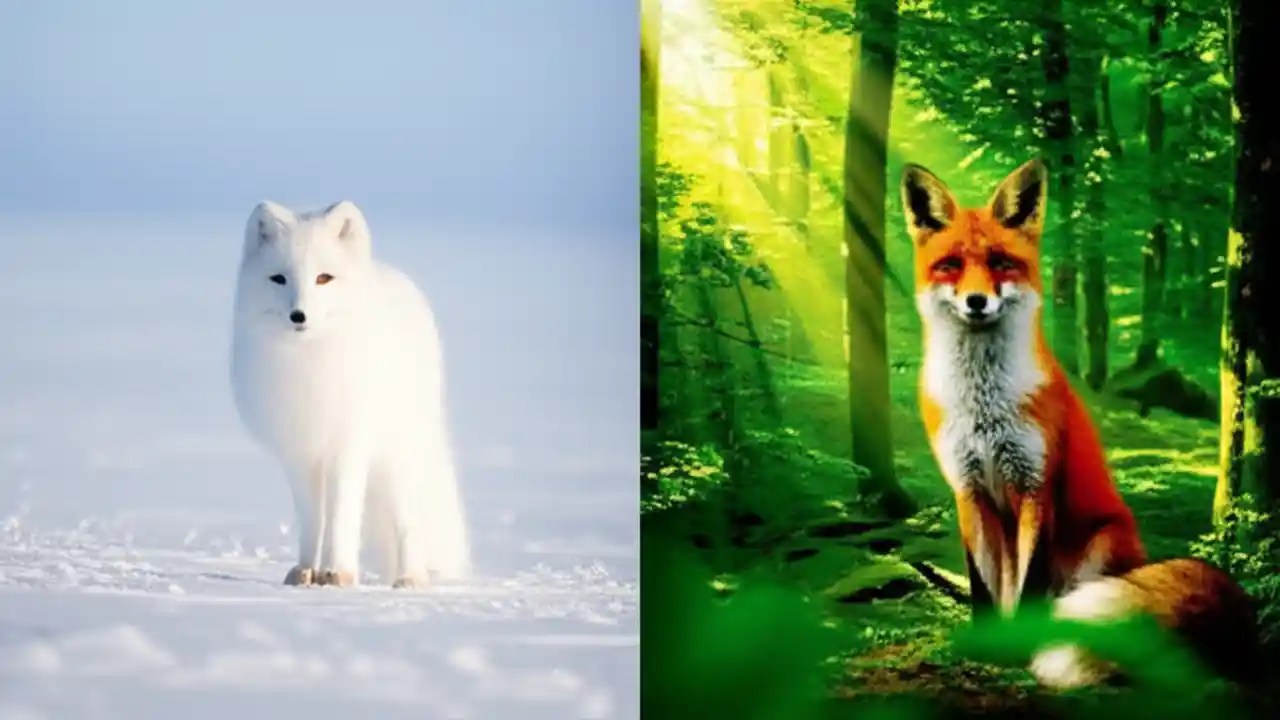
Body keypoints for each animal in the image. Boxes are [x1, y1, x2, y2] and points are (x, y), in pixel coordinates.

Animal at [230, 200, 470, 589]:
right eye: (279, 278)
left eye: (323, 278)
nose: (299, 315)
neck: (311, 366)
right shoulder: (300, 455)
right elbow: (313, 519)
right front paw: (305, 571)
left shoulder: (349, 448)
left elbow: (342, 516)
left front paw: (338, 572)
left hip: (397, 456)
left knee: (408, 521)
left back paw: (411, 577)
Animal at [900, 159, 1258, 688]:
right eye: (951, 265)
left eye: (1001, 262)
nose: (977, 302)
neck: (984, 404)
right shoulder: (968, 491)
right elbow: (983, 589)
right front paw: (984, 645)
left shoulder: (1036, 484)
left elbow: (1031, 586)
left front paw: (1020, 649)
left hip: (1100, 548)